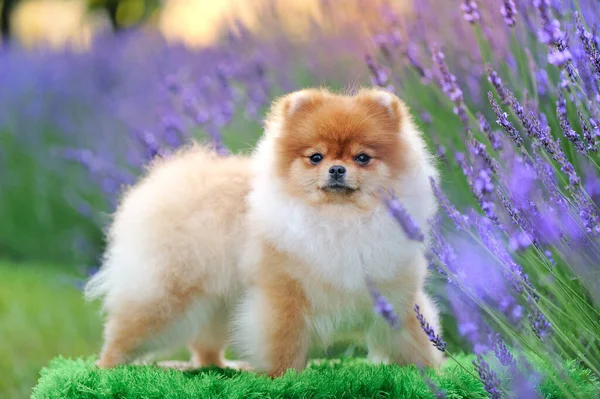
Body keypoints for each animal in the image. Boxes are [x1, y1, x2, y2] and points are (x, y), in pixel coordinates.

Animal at [85, 86, 440, 376]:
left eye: (363, 157)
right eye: (316, 157)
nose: (337, 169)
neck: (341, 219)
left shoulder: (394, 292)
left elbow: (413, 336)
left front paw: (429, 372)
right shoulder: (284, 293)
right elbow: (283, 341)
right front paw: (282, 379)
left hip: (220, 303)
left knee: (205, 342)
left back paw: (222, 365)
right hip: (166, 296)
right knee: (127, 332)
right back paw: (106, 367)